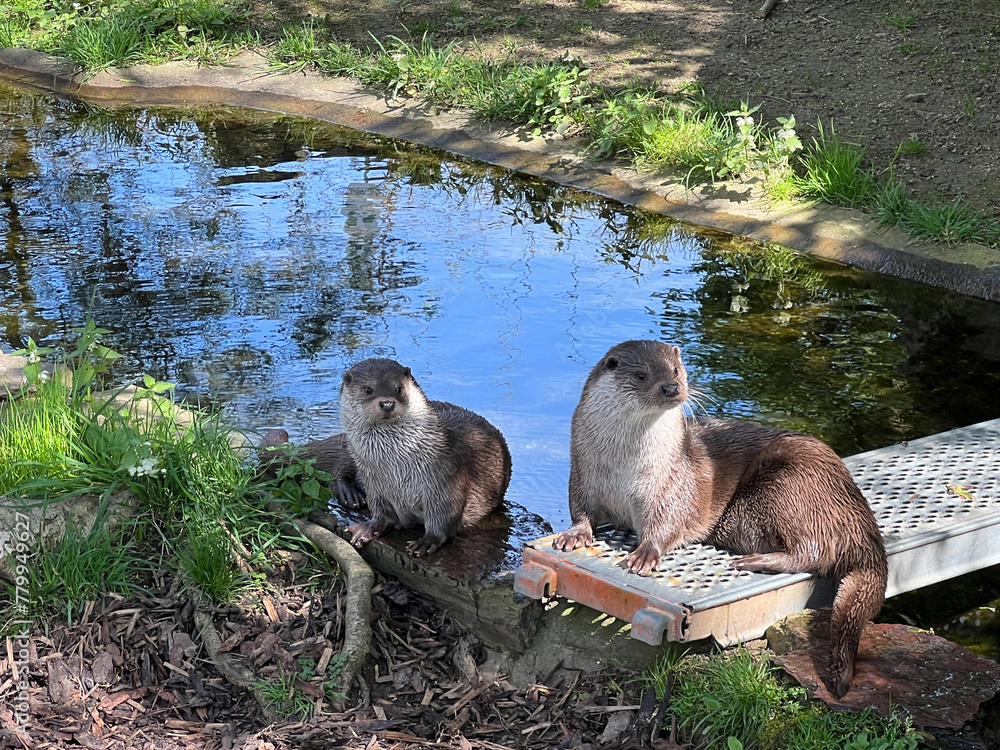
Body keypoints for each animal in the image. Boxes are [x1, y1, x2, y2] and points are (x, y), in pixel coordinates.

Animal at [340, 358, 512, 557]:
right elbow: (381, 512)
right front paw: (369, 527)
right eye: (368, 389)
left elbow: (443, 514)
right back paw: (349, 493)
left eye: (399, 389)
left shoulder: (444, 477)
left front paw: (429, 540)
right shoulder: (373, 482)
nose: (387, 404)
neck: (396, 467)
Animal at [554, 339, 888, 699]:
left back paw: (754, 560)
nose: (671, 388)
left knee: (815, 551)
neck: (623, 471)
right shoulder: (582, 473)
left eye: (676, 370)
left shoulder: (670, 486)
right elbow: (580, 509)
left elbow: (666, 523)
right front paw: (574, 534)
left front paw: (645, 554)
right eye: (642, 375)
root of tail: (858, 513)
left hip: (791, 484)